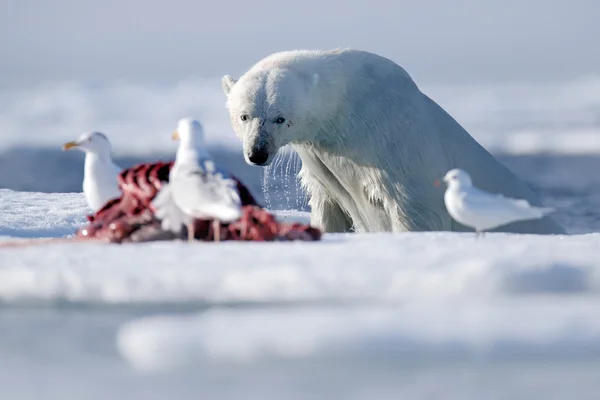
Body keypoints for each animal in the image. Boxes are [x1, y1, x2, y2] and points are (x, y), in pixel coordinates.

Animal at [219, 48, 564, 234]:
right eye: (244, 116)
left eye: (280, 118)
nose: (257, 153)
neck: (348, 107)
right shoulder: (323, 163)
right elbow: (328, 207)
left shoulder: (392, 140)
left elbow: (417, 208)